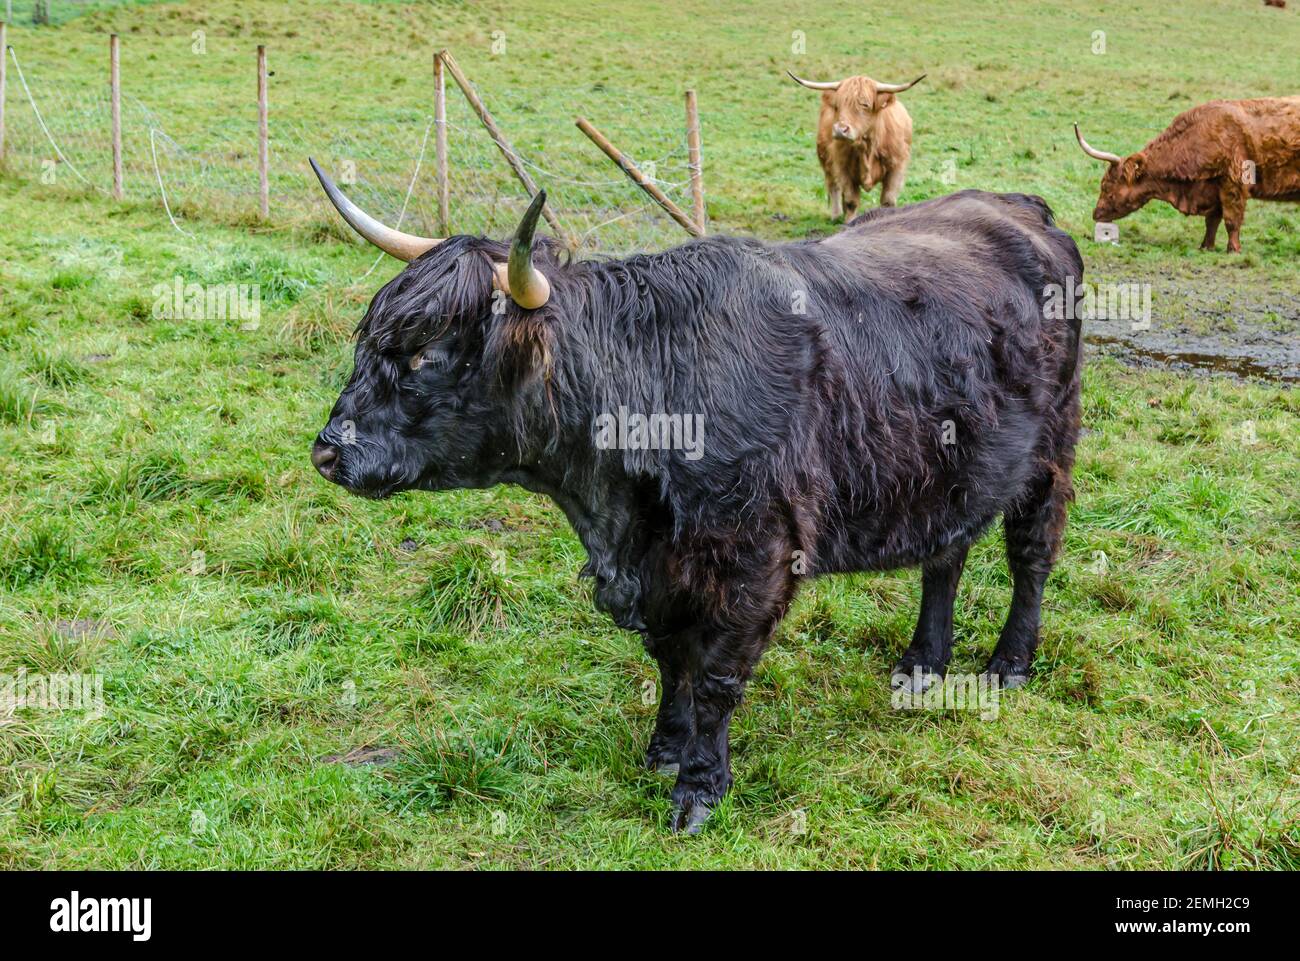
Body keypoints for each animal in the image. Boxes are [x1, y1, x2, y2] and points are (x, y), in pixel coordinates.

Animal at [308, 160, 1084, 833]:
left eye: (426, 354)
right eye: (370, 343)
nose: (327, 450)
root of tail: (1018, 206)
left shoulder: (755, 556)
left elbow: (713, 674)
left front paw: (699, 788)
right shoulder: (656, 567)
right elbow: (670, 661)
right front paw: (664, 750)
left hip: (1049, 451)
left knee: (1030, 554)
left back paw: (1009, 665)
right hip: (949, 470)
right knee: (945, 557)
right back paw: (922, 664)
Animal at [788, 69, 925, 219]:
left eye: (865, 104)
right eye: (837, 106)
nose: (840, 129)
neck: (867, 148)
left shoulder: (896, 168)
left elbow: (888, 201)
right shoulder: (843, 168)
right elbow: (851, 201)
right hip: (826, 161)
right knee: (833, 186)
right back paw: (836, 216)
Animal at [1075, 96, 1300, 252]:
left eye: (1107, 186)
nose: (1096, 214)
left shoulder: (1233, 184)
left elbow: (1231, 220)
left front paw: (1233, 250)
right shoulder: (1213, 187)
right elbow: (1212, 221)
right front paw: (1206, 247)